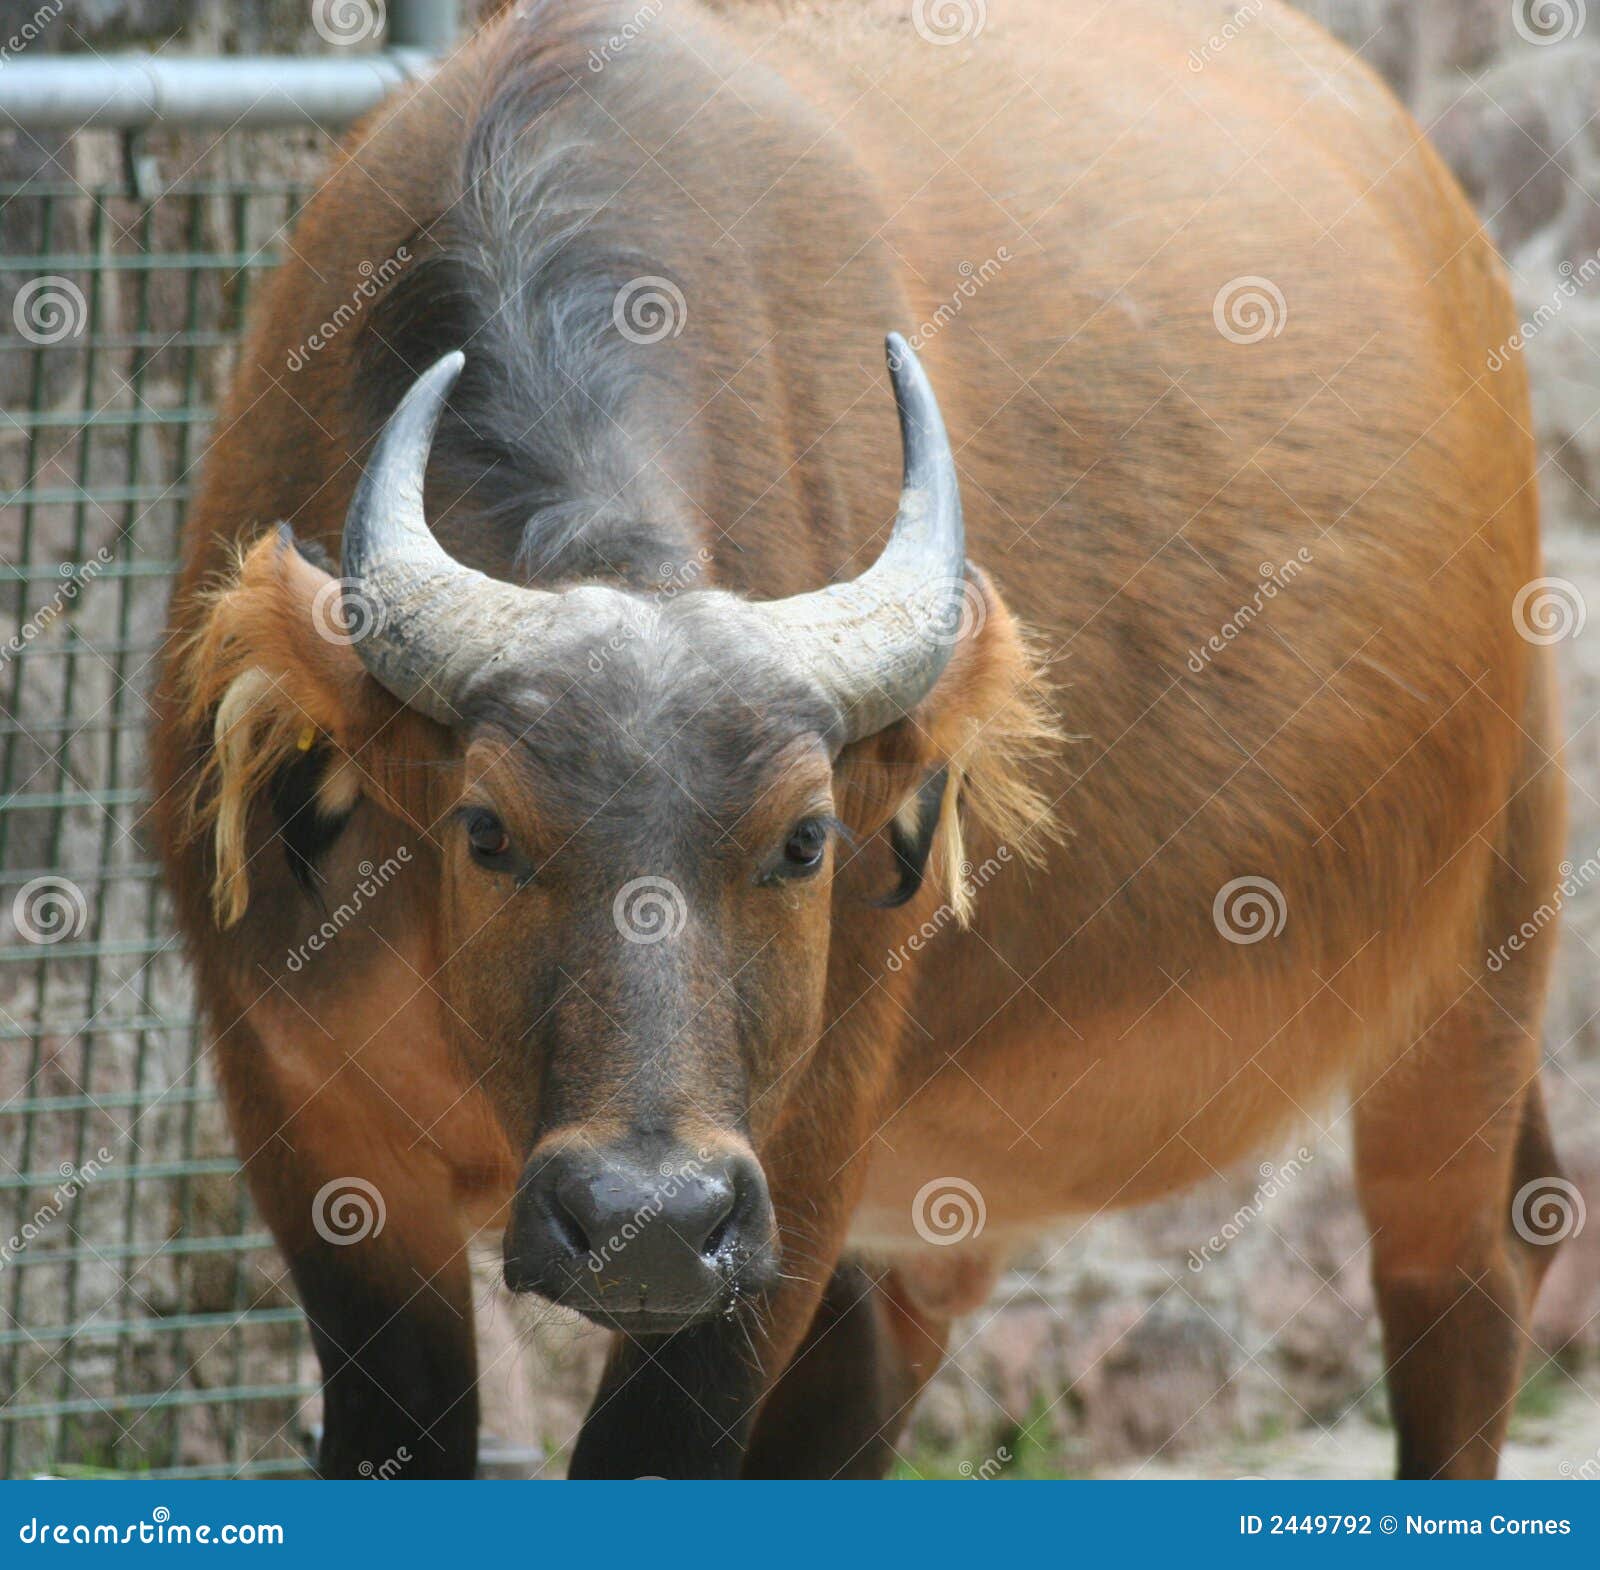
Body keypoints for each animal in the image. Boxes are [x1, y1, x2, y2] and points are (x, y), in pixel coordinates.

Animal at [149, 0, 1568, 1479]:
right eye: (484, 830)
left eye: (805, 839)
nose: (648, 1217)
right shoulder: (311, 1131)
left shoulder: (799, 1158)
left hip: (1485, 947)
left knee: (1469, 1277)